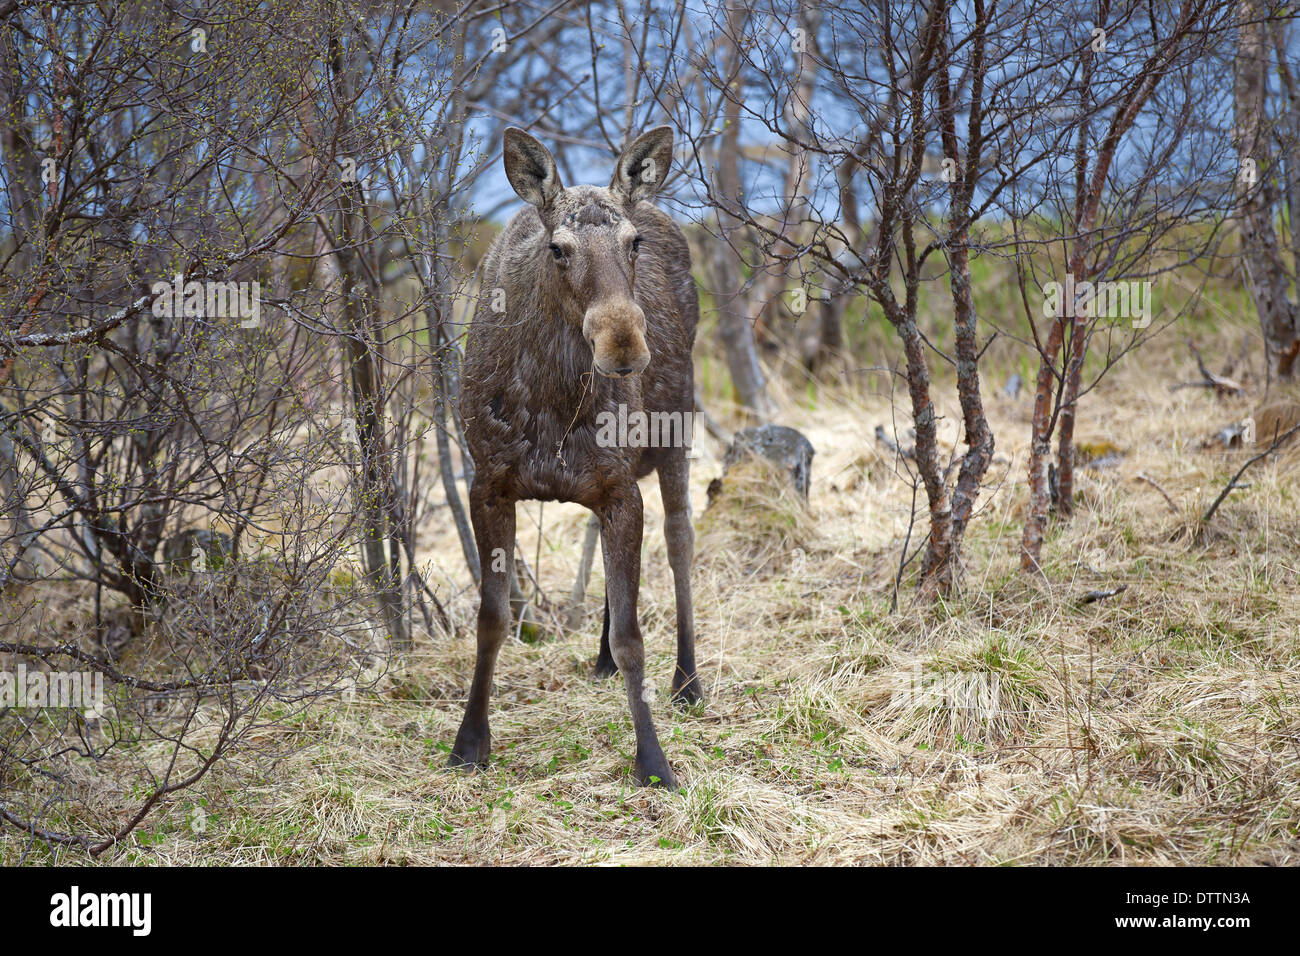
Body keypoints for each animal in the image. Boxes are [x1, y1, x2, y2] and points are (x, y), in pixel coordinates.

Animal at [447, 125, 702, 788]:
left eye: (632, 242)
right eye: (558, 249)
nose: (623, 344)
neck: (554, 403)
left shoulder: (620, 488)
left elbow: (636, 633)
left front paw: (653, 760)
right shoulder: (489, 483)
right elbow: (492, 620)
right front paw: (469, 742)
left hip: (678, 431)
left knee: (681, 542)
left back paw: (689, 679)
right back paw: (602, 660)